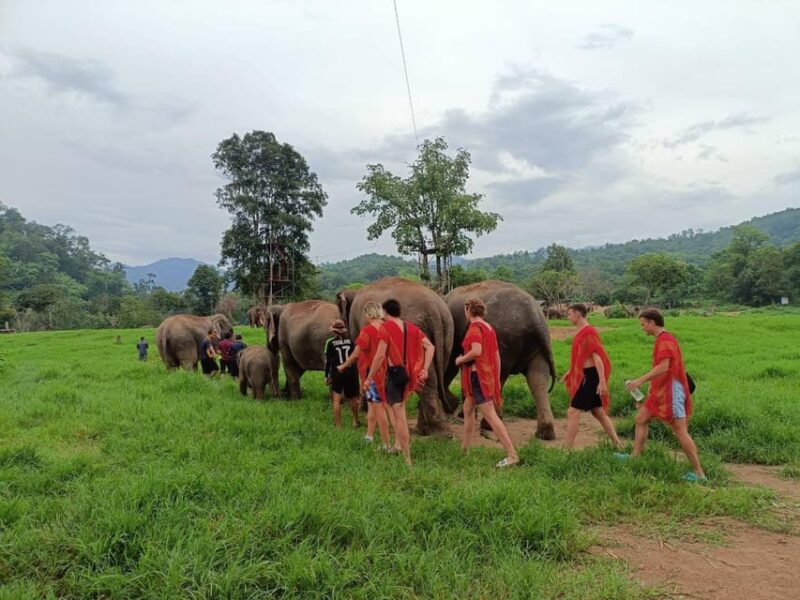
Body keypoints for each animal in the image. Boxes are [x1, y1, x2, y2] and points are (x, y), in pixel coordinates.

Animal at [444, 280, 557, 440]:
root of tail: (534, 316)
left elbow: (453, 363)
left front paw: (459, 412)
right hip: (537, 346)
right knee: (538, 379)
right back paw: (545, 433)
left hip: (503, 340)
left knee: (499, 375)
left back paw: (489, 425)